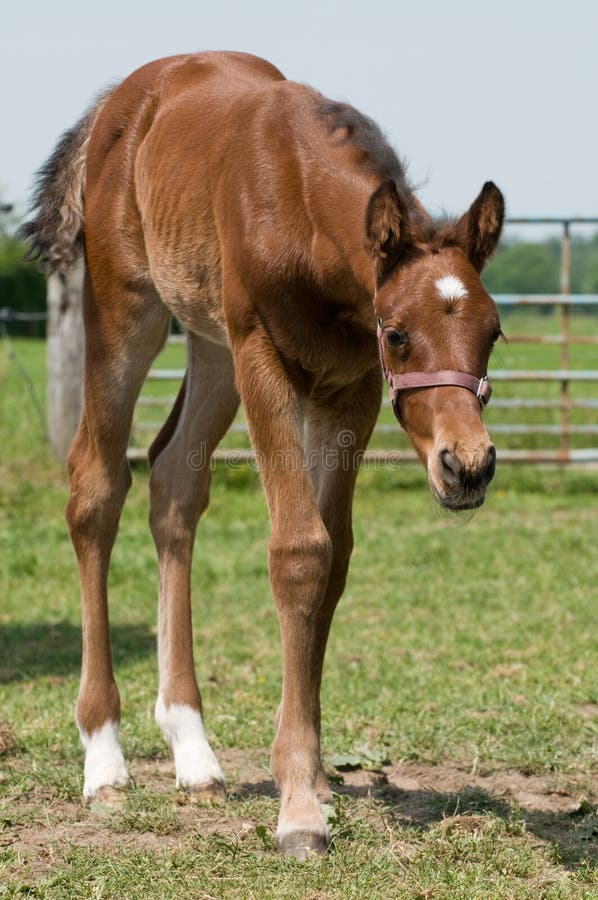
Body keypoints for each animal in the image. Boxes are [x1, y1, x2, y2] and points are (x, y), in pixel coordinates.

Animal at [23, 51, 504, 859]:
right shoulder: (264, 357)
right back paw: (104, 759)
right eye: (399, 333)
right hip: (128, 308)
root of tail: (122, 100)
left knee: (174, 481)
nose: (466, 467)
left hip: (210, 340)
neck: (305, 215)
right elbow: (299, 551)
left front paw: (311, 780)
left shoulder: (349, 388)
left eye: (494, 332)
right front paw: (300, 810)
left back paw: (193, 749)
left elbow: (333, 556)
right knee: (96, 486)